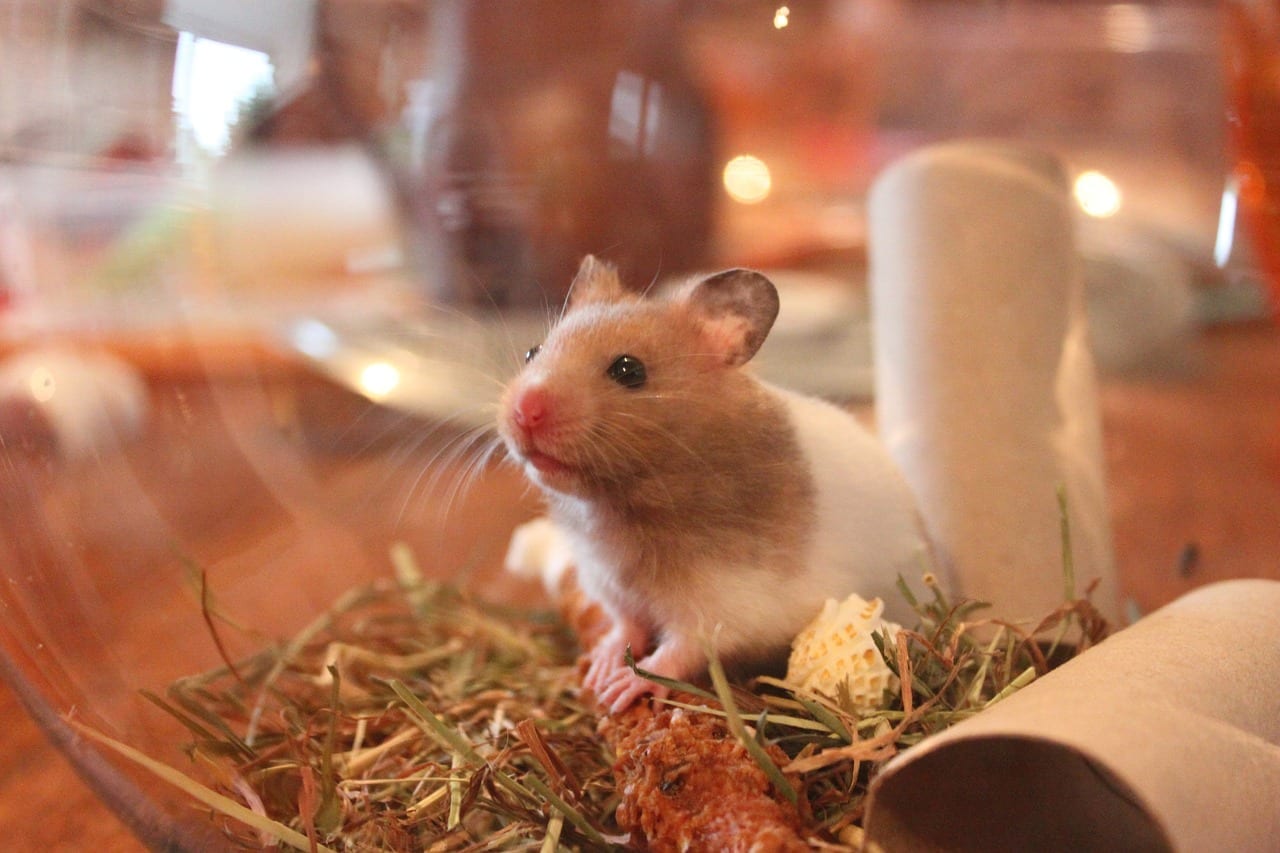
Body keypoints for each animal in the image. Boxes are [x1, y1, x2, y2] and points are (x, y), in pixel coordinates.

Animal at [498, 255, 932, 712]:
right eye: (532, 352)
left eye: (629, 370)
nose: (525, 411)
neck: (621, 504)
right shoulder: (611, 587)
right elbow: (626, 627)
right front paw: (599, 667)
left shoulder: (727, 608)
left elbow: (679, 650)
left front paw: (621, 688)